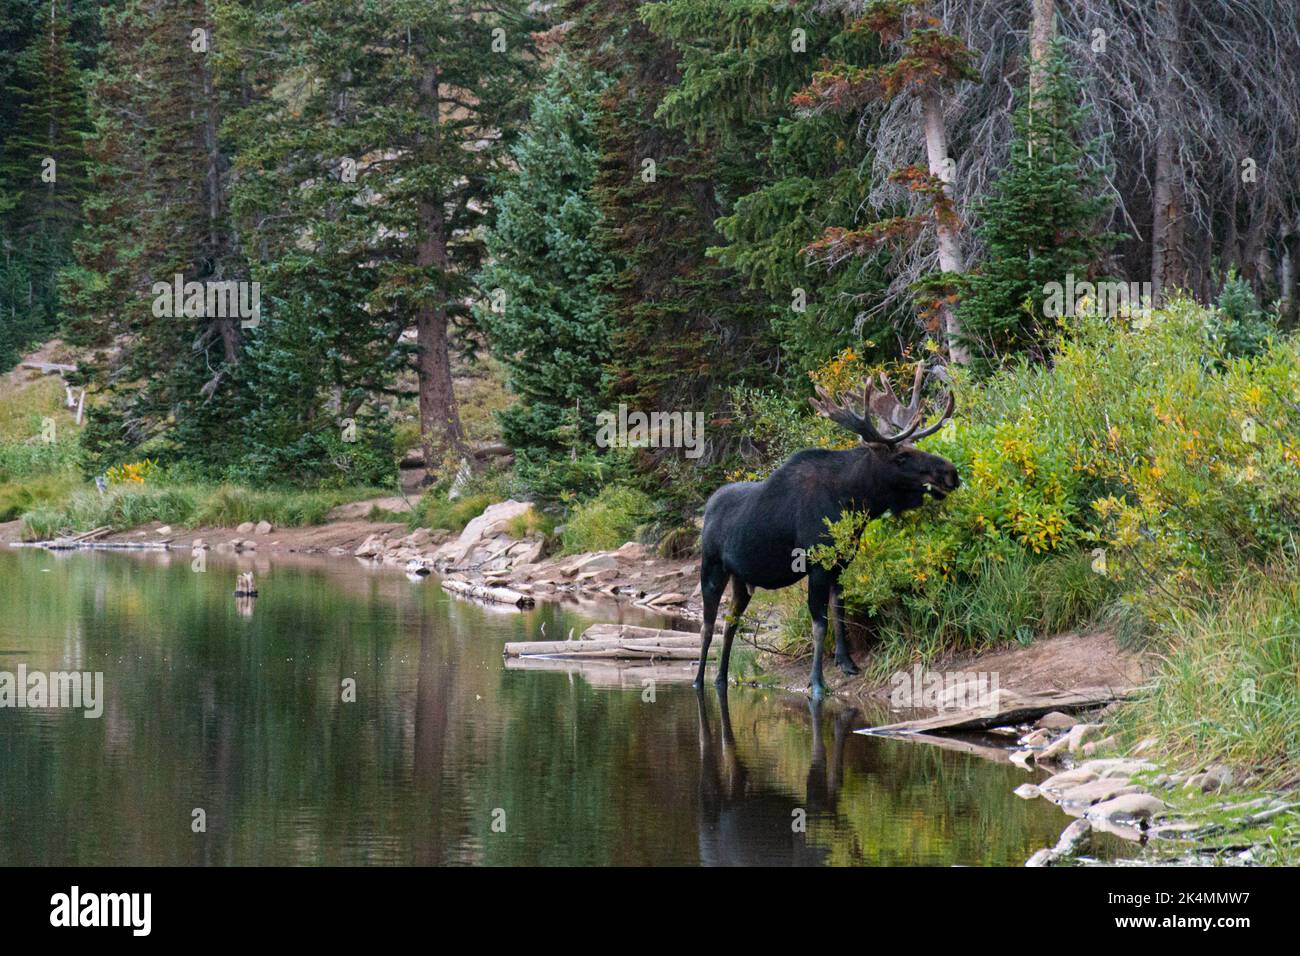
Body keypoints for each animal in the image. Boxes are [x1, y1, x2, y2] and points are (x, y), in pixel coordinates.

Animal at [694, 360, 959, 698]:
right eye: (901, 456)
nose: (950, 473)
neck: (854, 501)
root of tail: (707, 507)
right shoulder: (817, 564)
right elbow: (819, 623)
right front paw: (817, 681)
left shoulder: (842, 562)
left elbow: (839, 612)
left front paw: (846, 662)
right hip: (711, 568)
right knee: (707, 625)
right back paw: (699, 679)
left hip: (741, 579)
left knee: (730, 623)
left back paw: (720, 678)